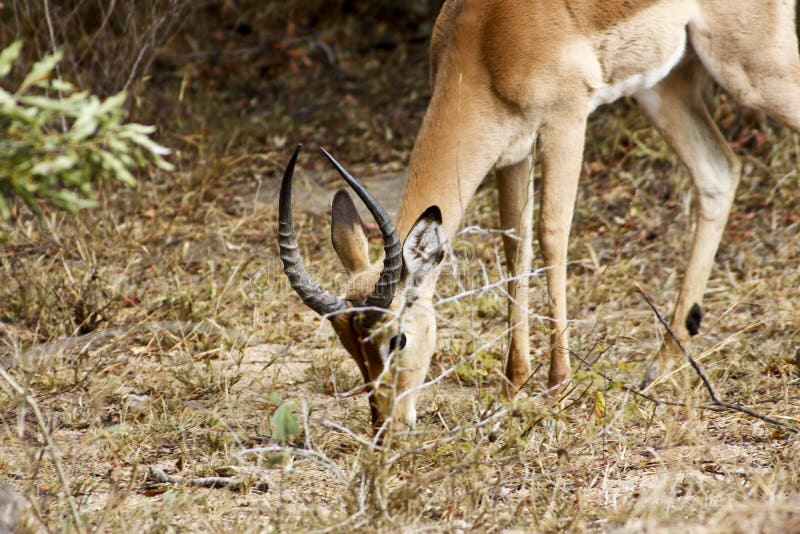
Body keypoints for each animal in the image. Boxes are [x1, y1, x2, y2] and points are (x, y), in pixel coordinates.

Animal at [279, 0, 800, 434]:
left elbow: (553, 236)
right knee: (719, 172)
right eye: (349, 345)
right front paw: (512, 389)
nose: (386, 428)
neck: (486, 40)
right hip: (664, 85)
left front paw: (558, 386)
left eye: (398, 339)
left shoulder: (566, 121)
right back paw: (662, 364)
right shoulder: (511, 152)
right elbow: (515, 249)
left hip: (754, 69)